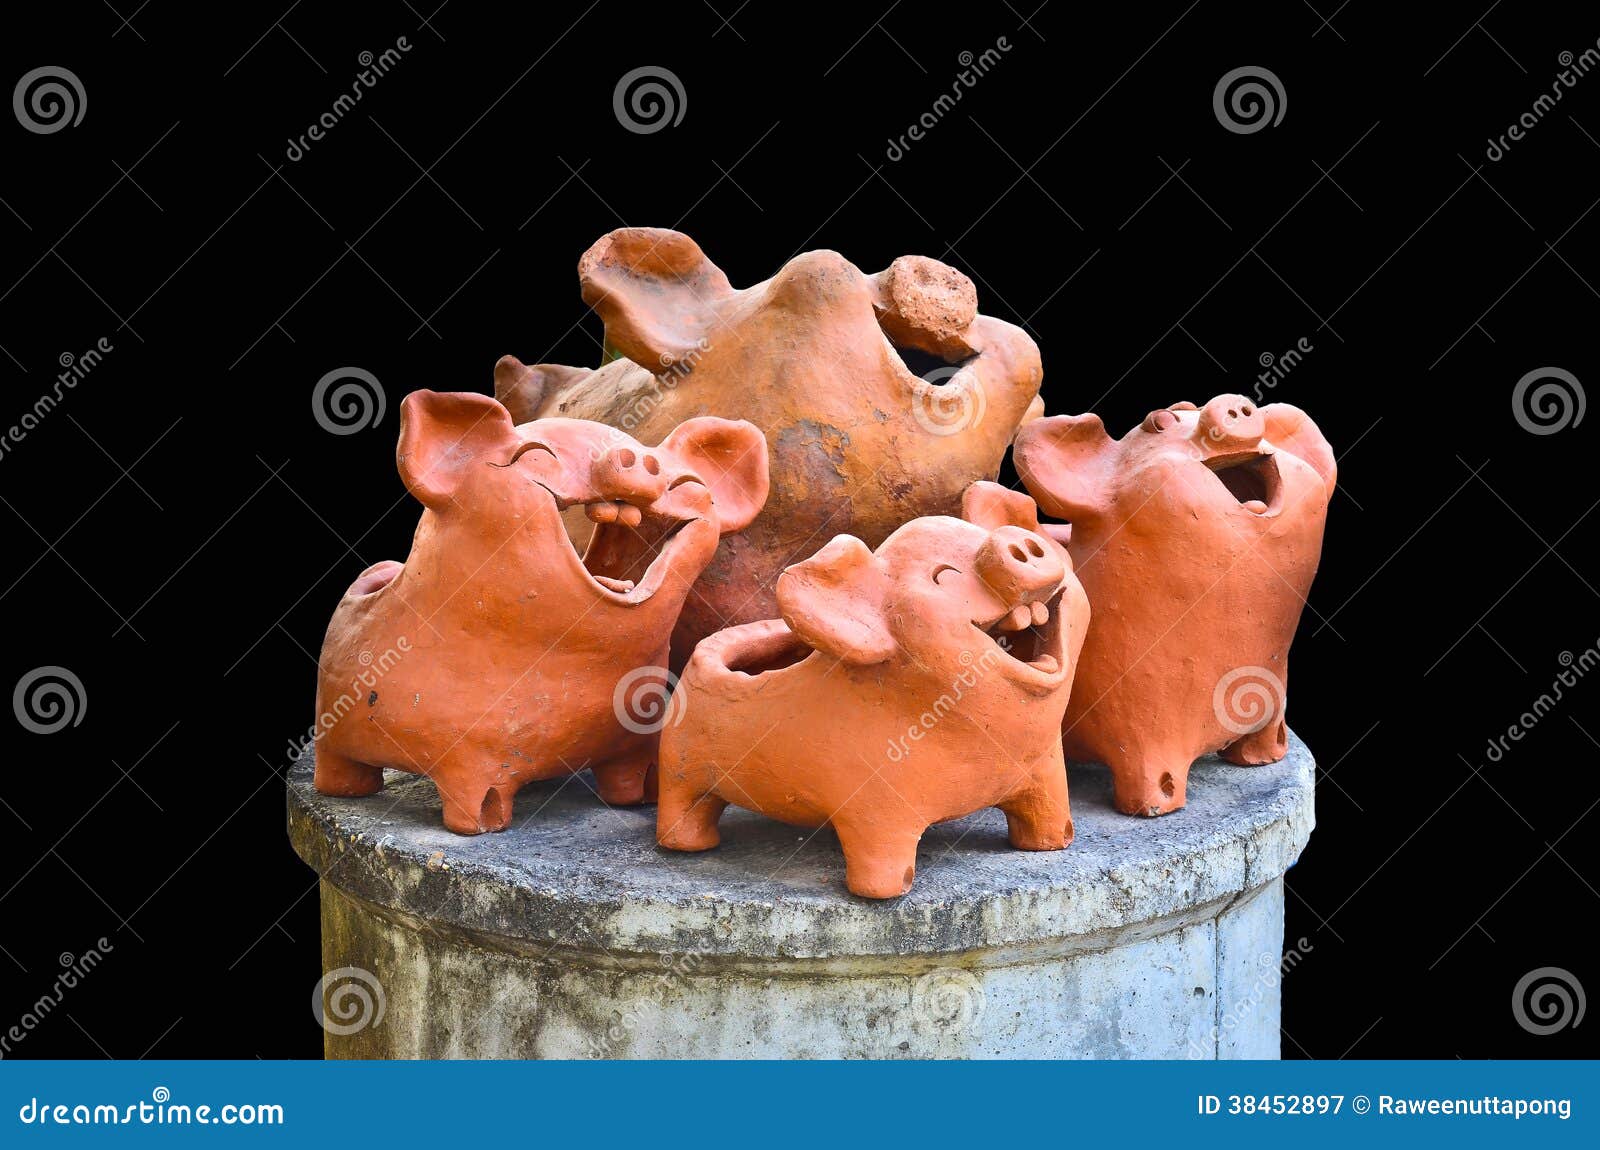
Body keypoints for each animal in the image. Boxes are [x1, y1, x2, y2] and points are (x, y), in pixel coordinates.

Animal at [312, 389, 768, 834]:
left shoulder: (633, 744)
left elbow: (630, 772)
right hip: (332, 728)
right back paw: (344, 790)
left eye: (689, 484)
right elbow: (477, 793)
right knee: (337, 760)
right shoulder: (467, 758)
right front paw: (483, 824)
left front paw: (641, 797)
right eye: (535, 456)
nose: (636, 459)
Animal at [655, 482, 1090, 899]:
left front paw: (1051, 844)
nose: (1017, 540)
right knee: (684, 803)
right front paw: (883, 894)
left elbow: (1047, 814)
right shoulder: (877, 811)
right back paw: (687, 846)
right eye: (942, 576)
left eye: (981, 535)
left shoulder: (1047, 770)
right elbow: (880, 857)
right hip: (679, 765)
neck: (984, 741)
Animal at [1013, 395, 1336, 817]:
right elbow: (1149, 770)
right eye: (1159, 423)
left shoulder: (1274, 678)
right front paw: (1157, 804)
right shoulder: (1142, 726)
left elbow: (1268, 728)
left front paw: (1266, 756)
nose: (1234, 403)